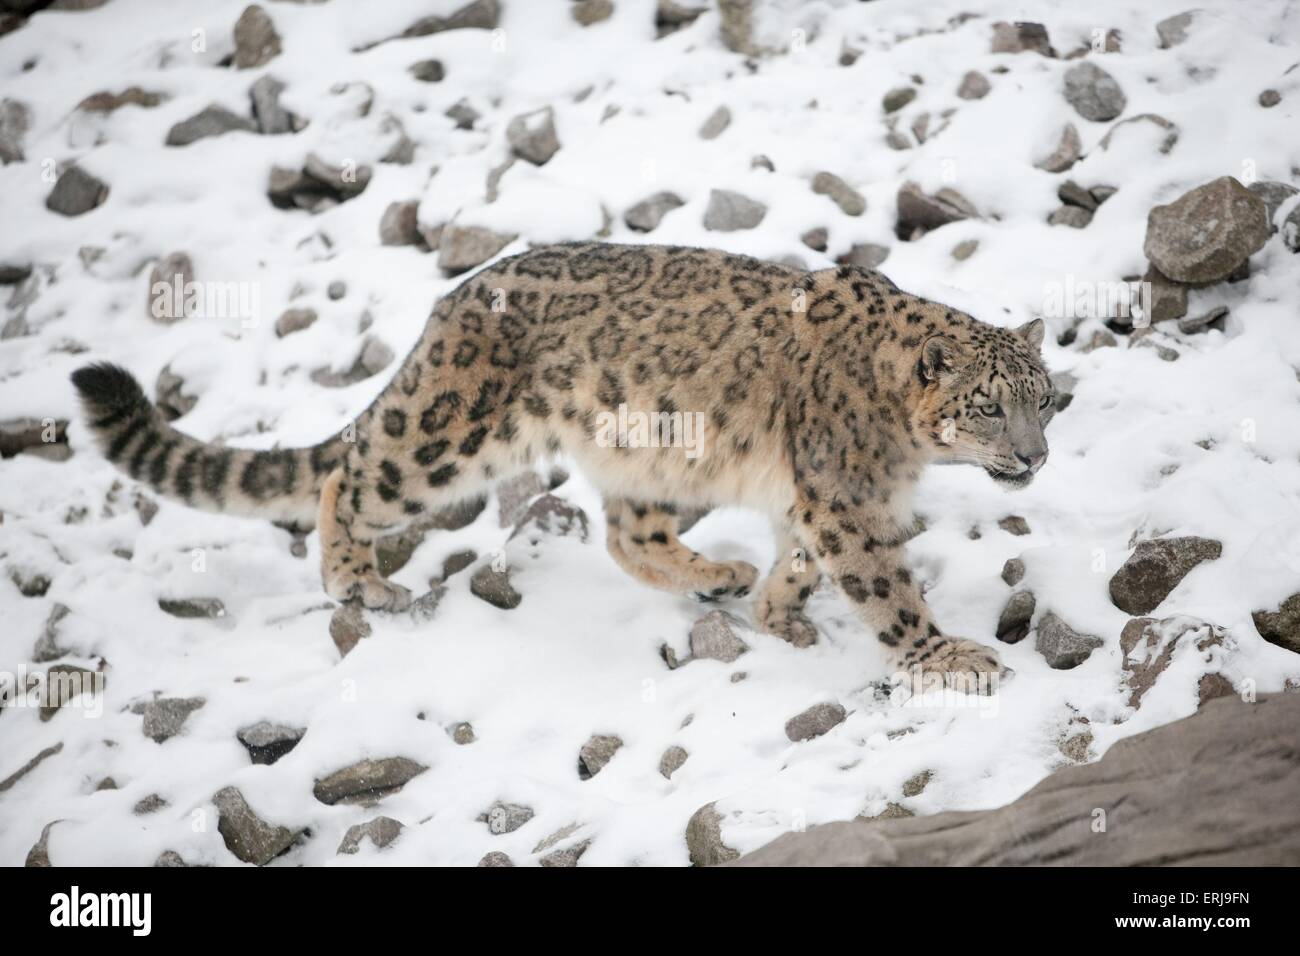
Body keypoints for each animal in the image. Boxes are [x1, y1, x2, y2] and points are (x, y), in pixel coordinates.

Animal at [72, 241, 1053, 687]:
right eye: (989, 405)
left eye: (1045, 398)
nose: (1033, 457)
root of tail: (454, 299)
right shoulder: (846, 496)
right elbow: (882, 582)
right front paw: (948, 655)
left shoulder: (818, 498)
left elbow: (804, 555)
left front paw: (779, 609)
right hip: (442, 437)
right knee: (350, 473)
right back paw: (358, 580)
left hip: (650, 454)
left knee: (626, 534)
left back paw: (718, 575)